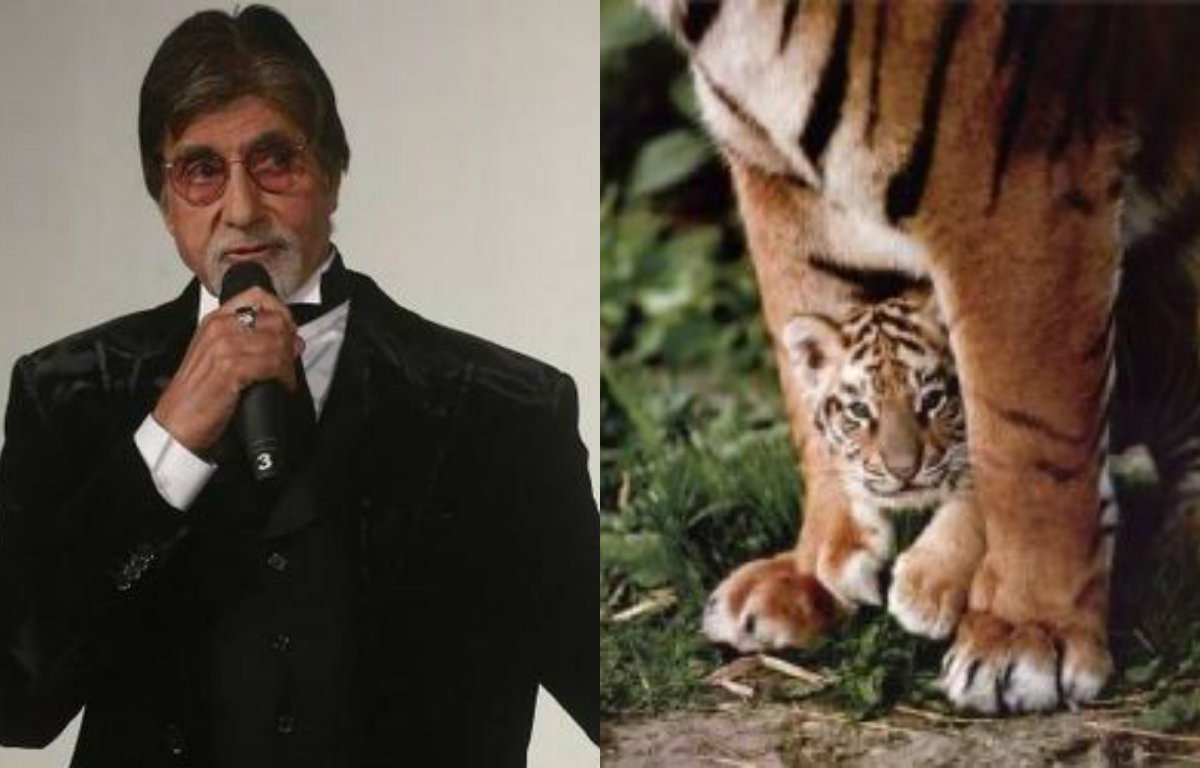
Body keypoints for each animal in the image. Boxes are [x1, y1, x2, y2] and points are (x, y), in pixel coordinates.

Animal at [641, 0, 1200, 714]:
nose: (901, 464)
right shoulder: (773, 170)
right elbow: (805, 381)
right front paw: (816, 569)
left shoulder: (1012, 176)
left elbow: (1026, 442)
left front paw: (1025, 636)